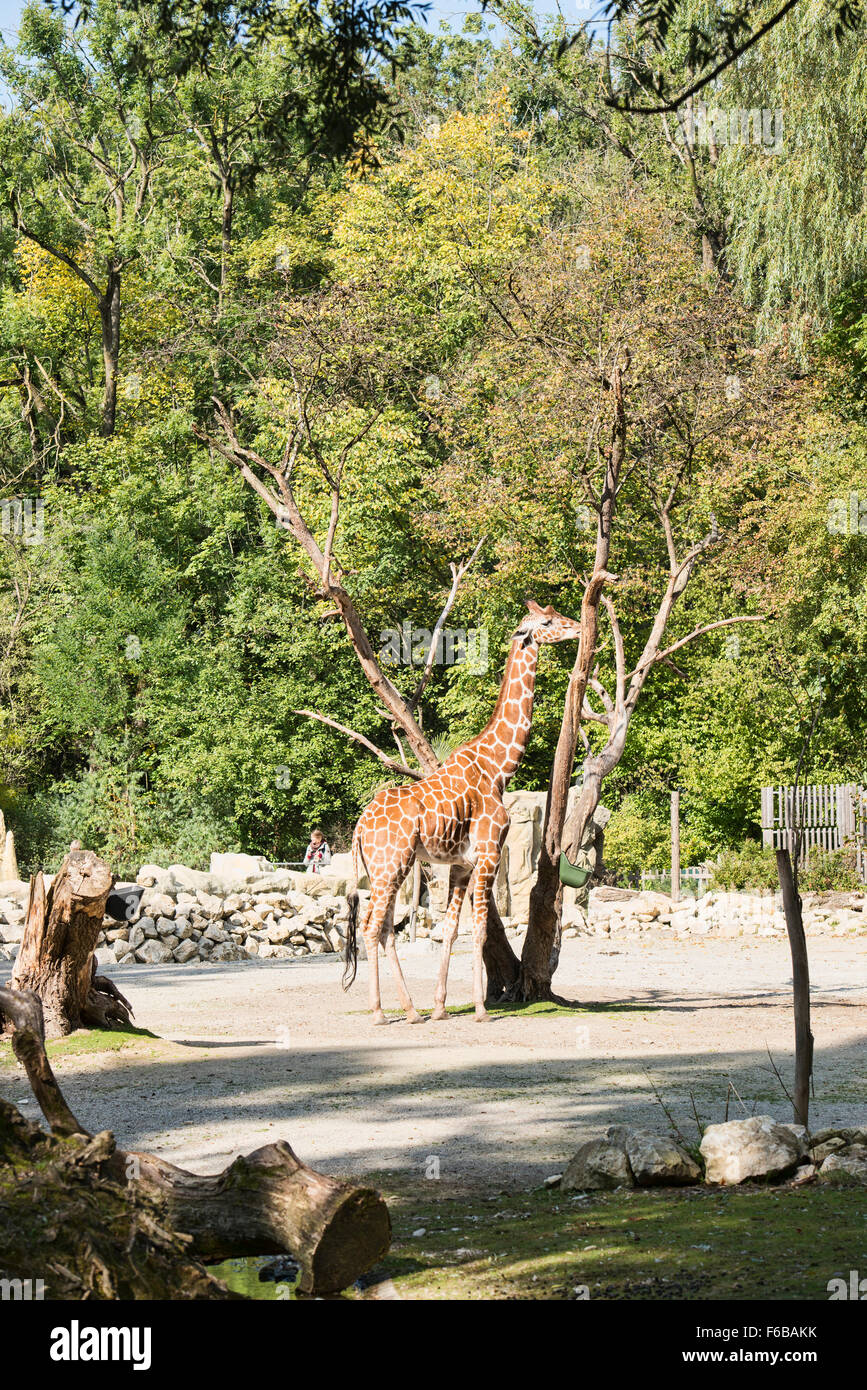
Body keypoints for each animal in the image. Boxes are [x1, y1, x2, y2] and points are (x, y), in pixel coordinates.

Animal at [342, 601, 582, 1023]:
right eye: (548, 621)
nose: (580, 628)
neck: (499, 767)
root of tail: (358, 828)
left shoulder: (461, 864)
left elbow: (453, 929)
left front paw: (439, 1007)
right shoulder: (489, 854)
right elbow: (482, 931)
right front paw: (481, 1009)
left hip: (385, 869)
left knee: (385, 929)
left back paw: (412, 1011)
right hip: (391, 865)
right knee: (372, 928)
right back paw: (380, 1012)